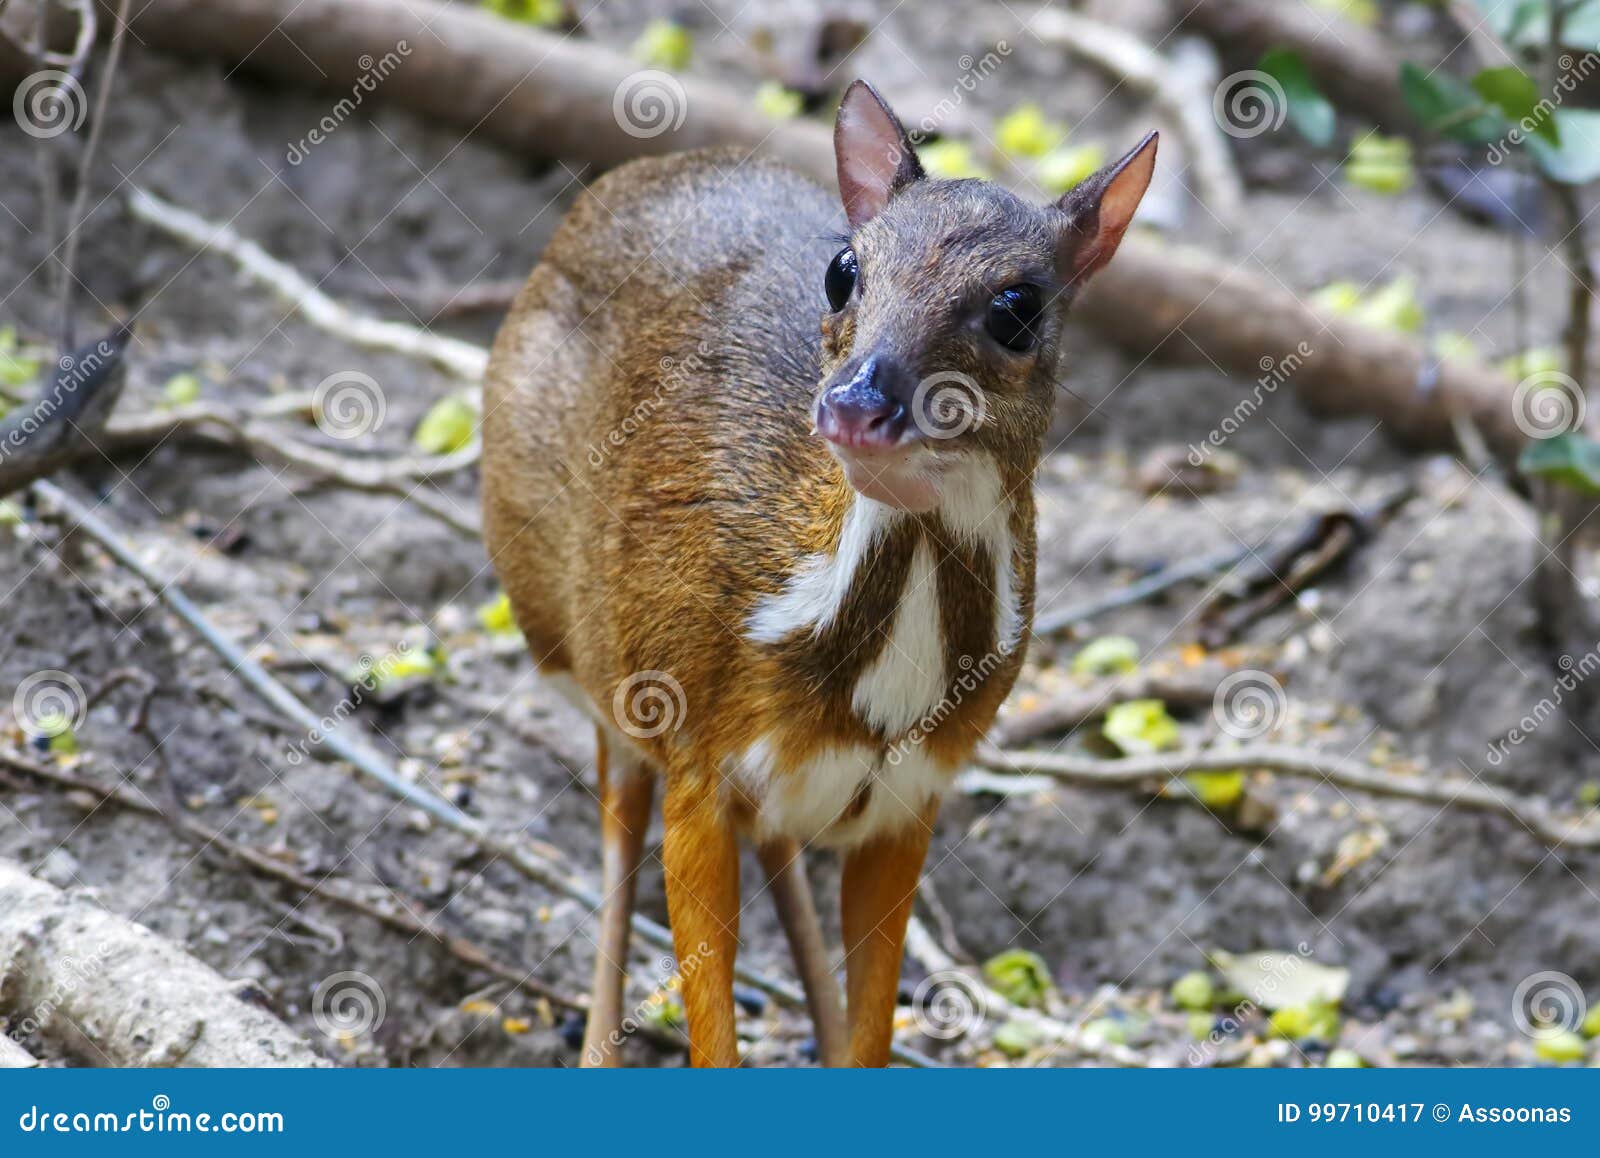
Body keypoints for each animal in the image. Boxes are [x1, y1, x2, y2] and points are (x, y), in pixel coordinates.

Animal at [482, 79, 1155, 1067]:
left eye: (1017, 308)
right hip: (590, 657)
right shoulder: (693, 753)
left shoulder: (911, 798)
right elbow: (711, 1033)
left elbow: (870, 1030)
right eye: (844, 271)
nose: (856, 404)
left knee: (773, 848)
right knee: (617, 816)